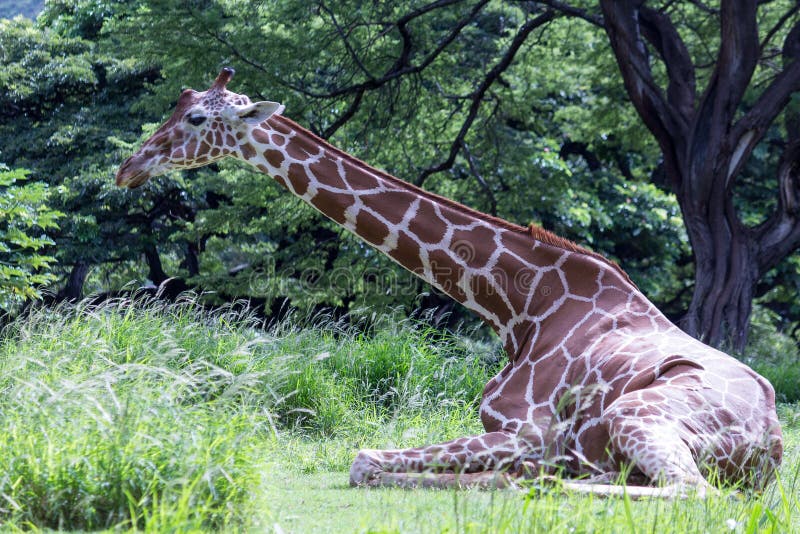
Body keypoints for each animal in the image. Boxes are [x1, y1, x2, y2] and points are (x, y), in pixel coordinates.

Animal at [116, 68, 783, 496]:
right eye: (175, 106)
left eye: (195, 117)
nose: (128, 166)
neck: (519, 307)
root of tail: (772, 446)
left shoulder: (528, 433)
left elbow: (362, 459)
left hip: (639, 416)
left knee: (690, 492)